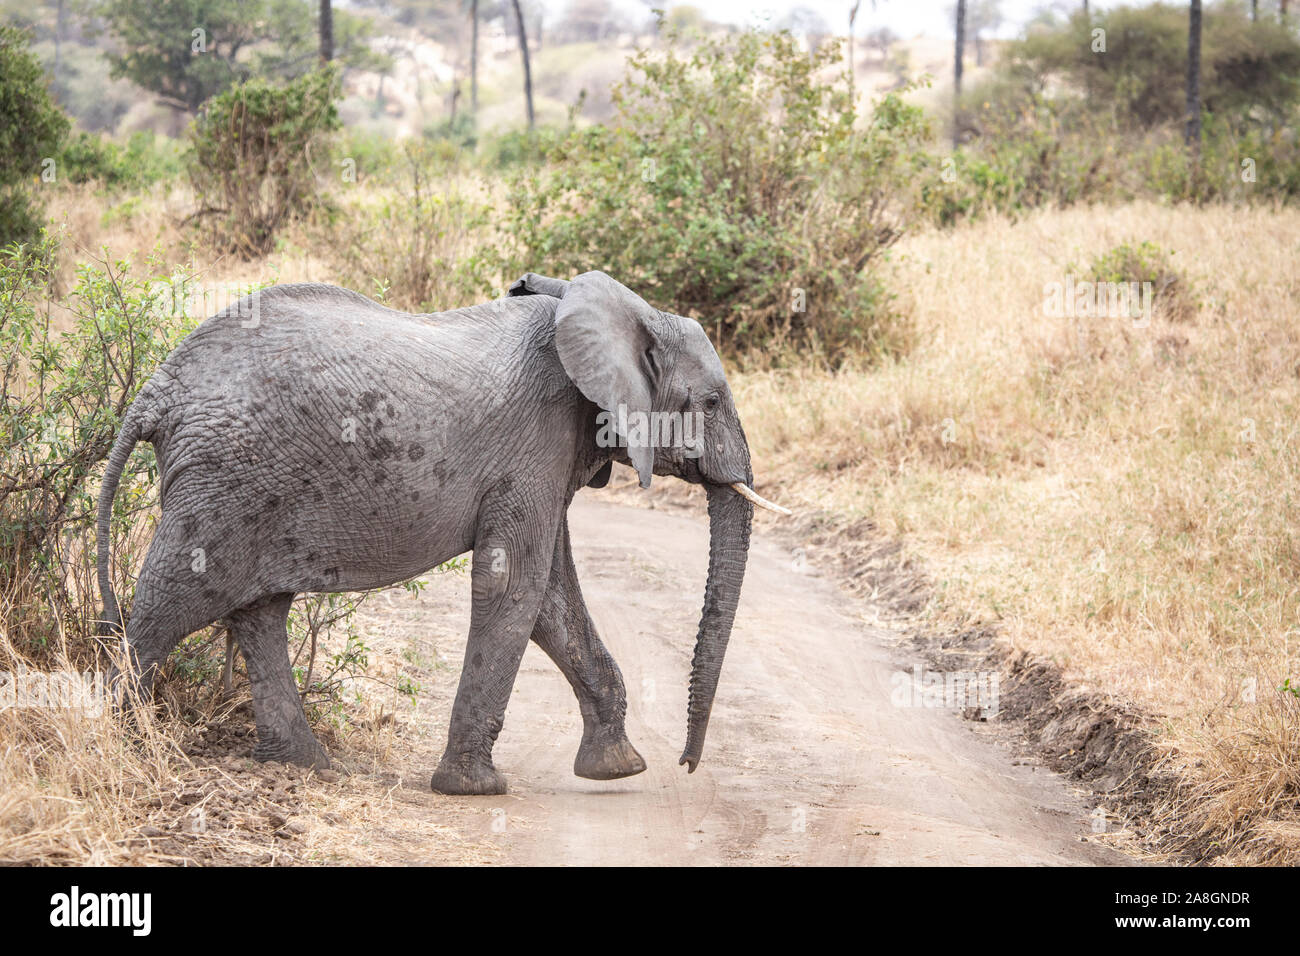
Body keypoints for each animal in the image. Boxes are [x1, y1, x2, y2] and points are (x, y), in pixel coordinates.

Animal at [96, 270, 788, 795]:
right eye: (711, 404)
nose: (687, 764)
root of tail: (157, 390)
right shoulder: (537, 440)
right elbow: (514, 585)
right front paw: (475, 789)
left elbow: (550, 598)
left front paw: (618, 770)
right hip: (222, 480)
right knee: (170, 602)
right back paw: (113, 736)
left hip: (247, 487)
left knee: (259, 610)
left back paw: (306, 765)